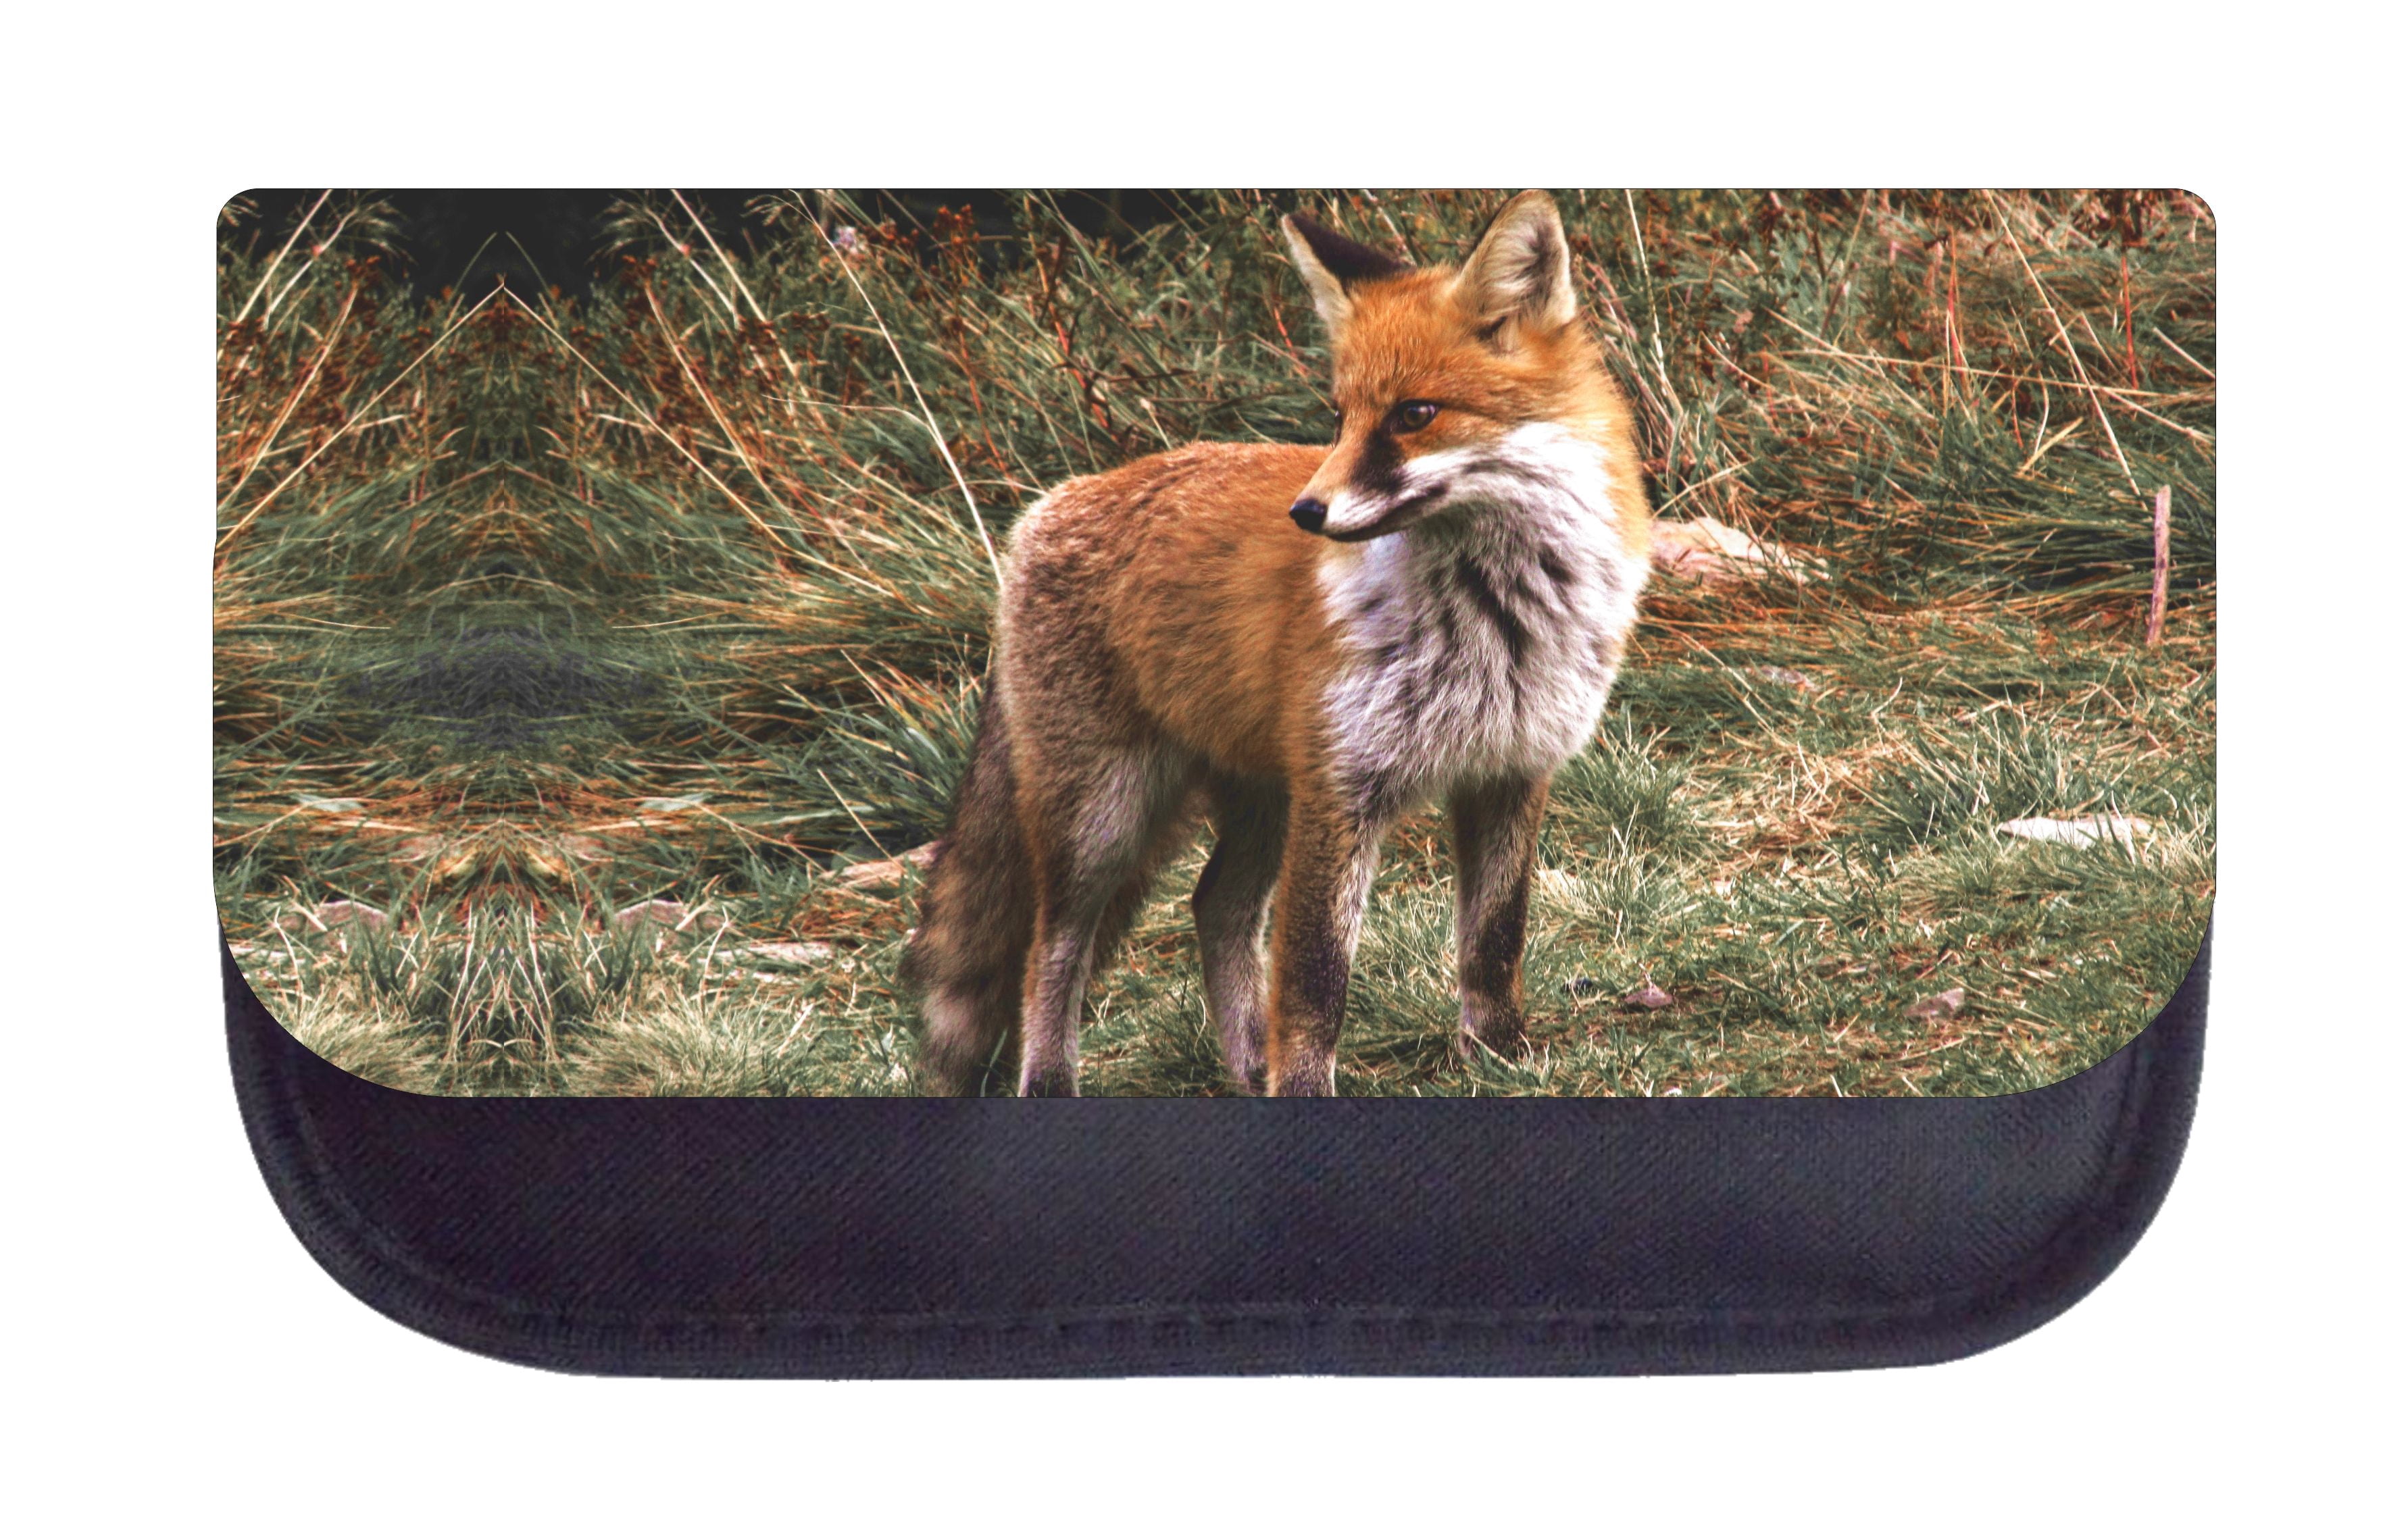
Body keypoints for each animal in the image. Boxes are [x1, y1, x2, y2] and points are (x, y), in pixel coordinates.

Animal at [902, 190, 1650, 1097]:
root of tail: (1053, 504)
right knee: (1052, 946)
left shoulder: (1510, 770)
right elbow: (1315, 975)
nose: (1308, 512)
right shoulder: (1341, 789)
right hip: (1103, 817)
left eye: (1415, 415)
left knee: (1215, 905)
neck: (1493, 616)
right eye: (1339, 416)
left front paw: (1502, 1056)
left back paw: (1246, 1061)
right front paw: (1302, 1089)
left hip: (1259, 800)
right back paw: (1051, 1080)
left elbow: (1494, 939)